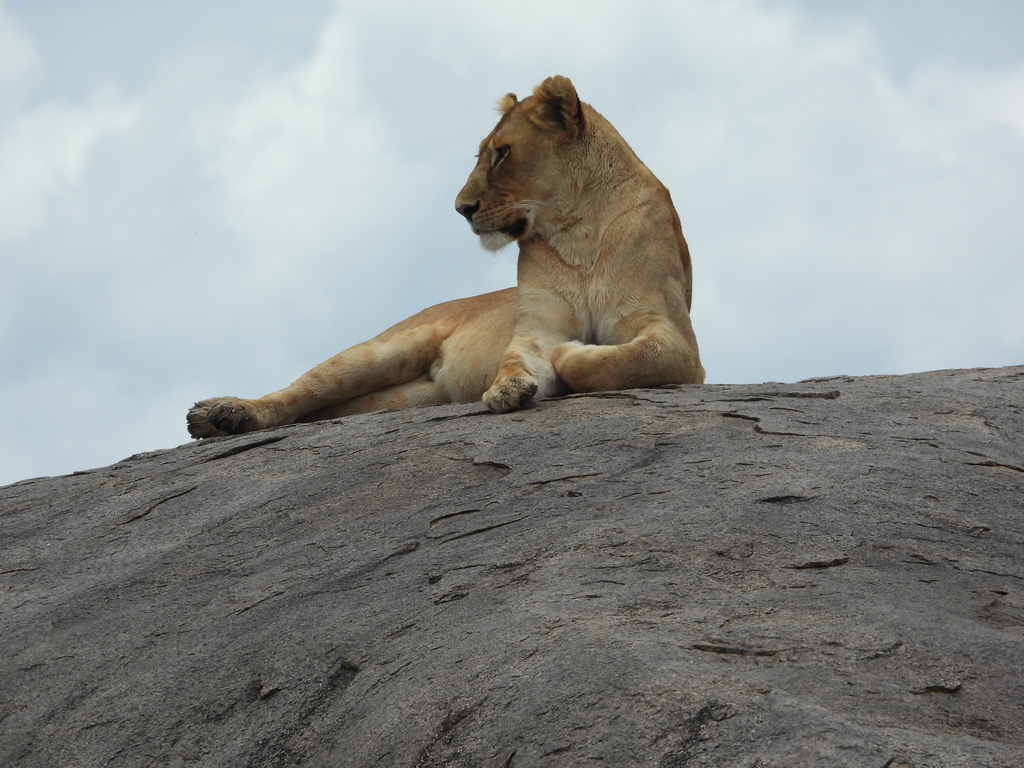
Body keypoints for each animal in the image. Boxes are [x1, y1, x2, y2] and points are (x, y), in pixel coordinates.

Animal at [187, 75, 704, 439]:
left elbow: (618, 360)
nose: (461, 208)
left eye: (501, 153)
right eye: (480, 154)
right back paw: (221, 413)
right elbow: (527, 356)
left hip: (411, 396)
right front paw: (510, 386)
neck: (577, 227)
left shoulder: (677, 341)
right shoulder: (536, 326)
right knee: (302, 390)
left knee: (323, 410)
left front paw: (574, 354)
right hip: (379, 351)